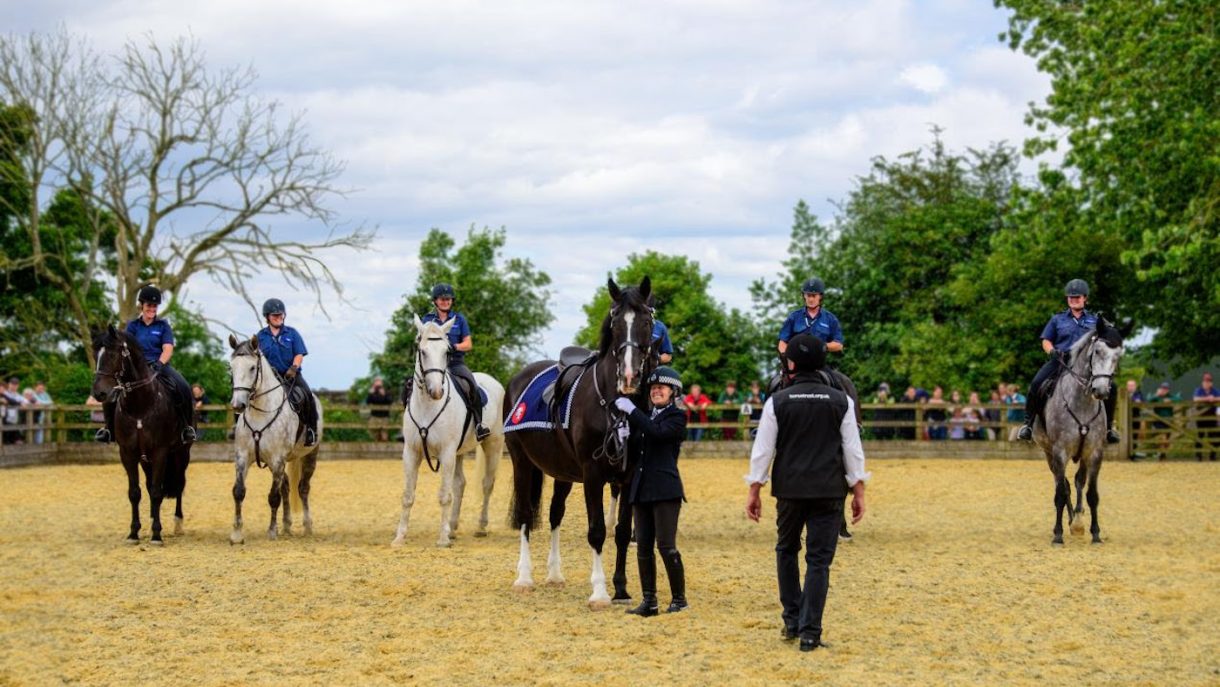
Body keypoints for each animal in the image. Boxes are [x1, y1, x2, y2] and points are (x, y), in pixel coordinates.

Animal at [91, 325, 192, 545]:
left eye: (113, 354)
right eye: (96, 354)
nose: (99, 393)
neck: (140, 405)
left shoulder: (161, 452)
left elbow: (156, 492)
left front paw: (156, 535)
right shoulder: (128, 453)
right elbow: (135, 492)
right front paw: (133, 533)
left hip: (181, 454)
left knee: (179, 484)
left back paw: (177, 523)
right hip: (146, 460)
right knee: (150, 485)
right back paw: (154, 517)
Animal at [227, 334, 324, 544]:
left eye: (252, 367)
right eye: (232, 367)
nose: (238, 405)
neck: (260, 412)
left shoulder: (278, 458)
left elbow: (273, 497)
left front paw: (272, 531)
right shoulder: (242, 457)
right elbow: (239, 492)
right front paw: (237, 533)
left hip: (310, 454)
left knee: (303, 488)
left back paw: (307, 526)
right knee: (286, 486)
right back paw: (286, 525)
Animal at [392, 315, 506, 548]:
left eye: (447, 352)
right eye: (422, 350)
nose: (436, 392)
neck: (428, 407)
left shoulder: (446, 452)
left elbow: (444, 495)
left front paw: (442, 540)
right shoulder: (411, 453)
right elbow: (408, 496)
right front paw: (400, 537)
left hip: (492, 445)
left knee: (487, 484)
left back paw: (481, 527)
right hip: (459, 453)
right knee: (460, 484)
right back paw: (452, 527)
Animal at [504, 277, 655, 609]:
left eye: (647, 321)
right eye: (615, 321)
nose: (629, 376)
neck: (615, 405)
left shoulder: (630, 475)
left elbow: (621, 532)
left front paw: (621, 588)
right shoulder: (593, 474)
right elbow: (597, 531)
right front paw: (599, 592)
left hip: (563, 473)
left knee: (554, 514)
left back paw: (554, 575)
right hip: (522, 463)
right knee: (525, 516)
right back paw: (524, 578)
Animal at [1032, 319, 1123, 545]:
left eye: (1118, 355)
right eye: (1097, 351)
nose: (1101, 390)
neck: (1081, 402)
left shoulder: (1095, 452)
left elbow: (1092, 494)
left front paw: (1095, 533)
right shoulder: (1059, 452)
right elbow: (1060, 493)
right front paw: (1058, 535)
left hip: (1081, 455)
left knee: (1078, 481)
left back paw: (1078, 520)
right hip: (1049, 453)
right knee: (1063, 484)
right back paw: (1071, 521)